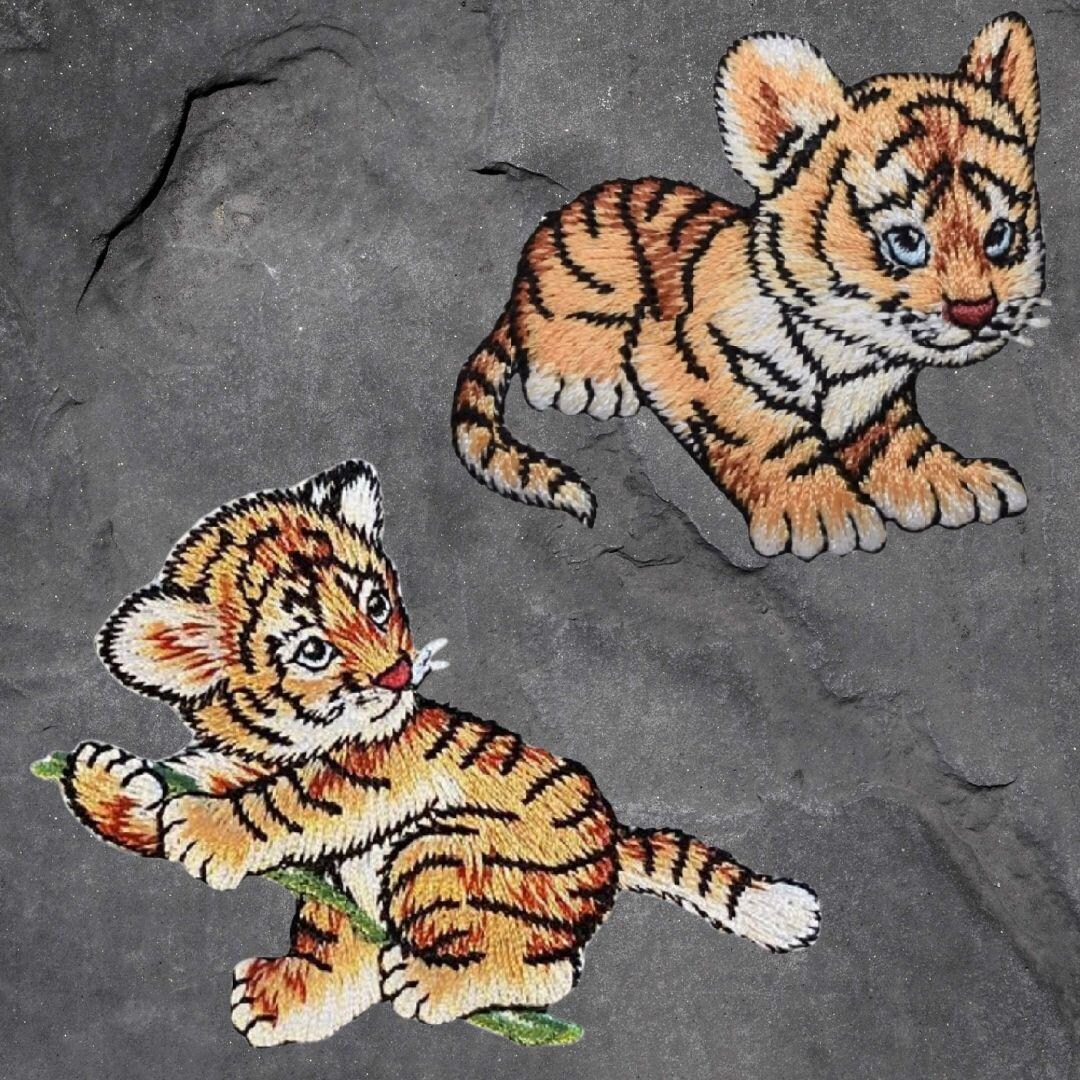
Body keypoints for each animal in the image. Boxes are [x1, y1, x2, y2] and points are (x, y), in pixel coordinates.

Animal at [59, 460, 820, 1045]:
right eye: (314, 650)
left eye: (376, 604)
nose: (398, 675)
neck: (289, 739)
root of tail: (611, 836)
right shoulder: (242, 760)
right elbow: (193, 776)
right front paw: (105, 782)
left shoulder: (367, 770)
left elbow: (288, 805)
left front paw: (206, 831)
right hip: (357, 891)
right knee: (343, 946)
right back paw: (281, 996)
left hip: (448, 852)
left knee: (548, 967)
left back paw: (430, 980)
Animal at [452, 13, 1047, 559]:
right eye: (905, 241)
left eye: (1000, 234)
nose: (976, 313)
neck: (854, 351)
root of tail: (564, 210)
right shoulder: (693, 363)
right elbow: (766, 433)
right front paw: (821, 513)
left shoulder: (876, 400)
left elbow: (898, 440)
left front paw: (953, 479)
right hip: (582, 266)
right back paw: (582, 378)